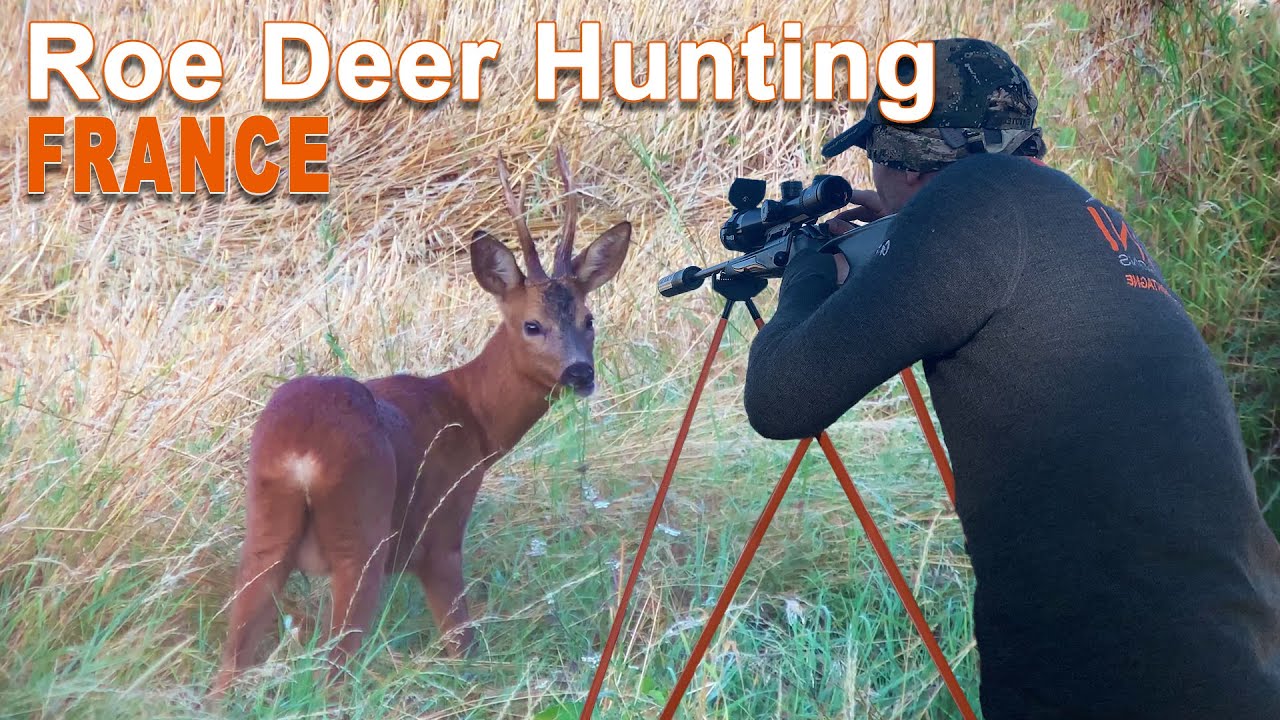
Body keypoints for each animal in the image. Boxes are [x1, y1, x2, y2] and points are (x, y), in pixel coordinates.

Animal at [209, 147, 631, 699]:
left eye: (589, 320)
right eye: (532, 324)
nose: (580, 373)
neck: (471, 415)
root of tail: (302, 456)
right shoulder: (442, 532)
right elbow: (462, 643)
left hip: (264, 532)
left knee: (230, 666)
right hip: (362, 535)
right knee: (334, 671)